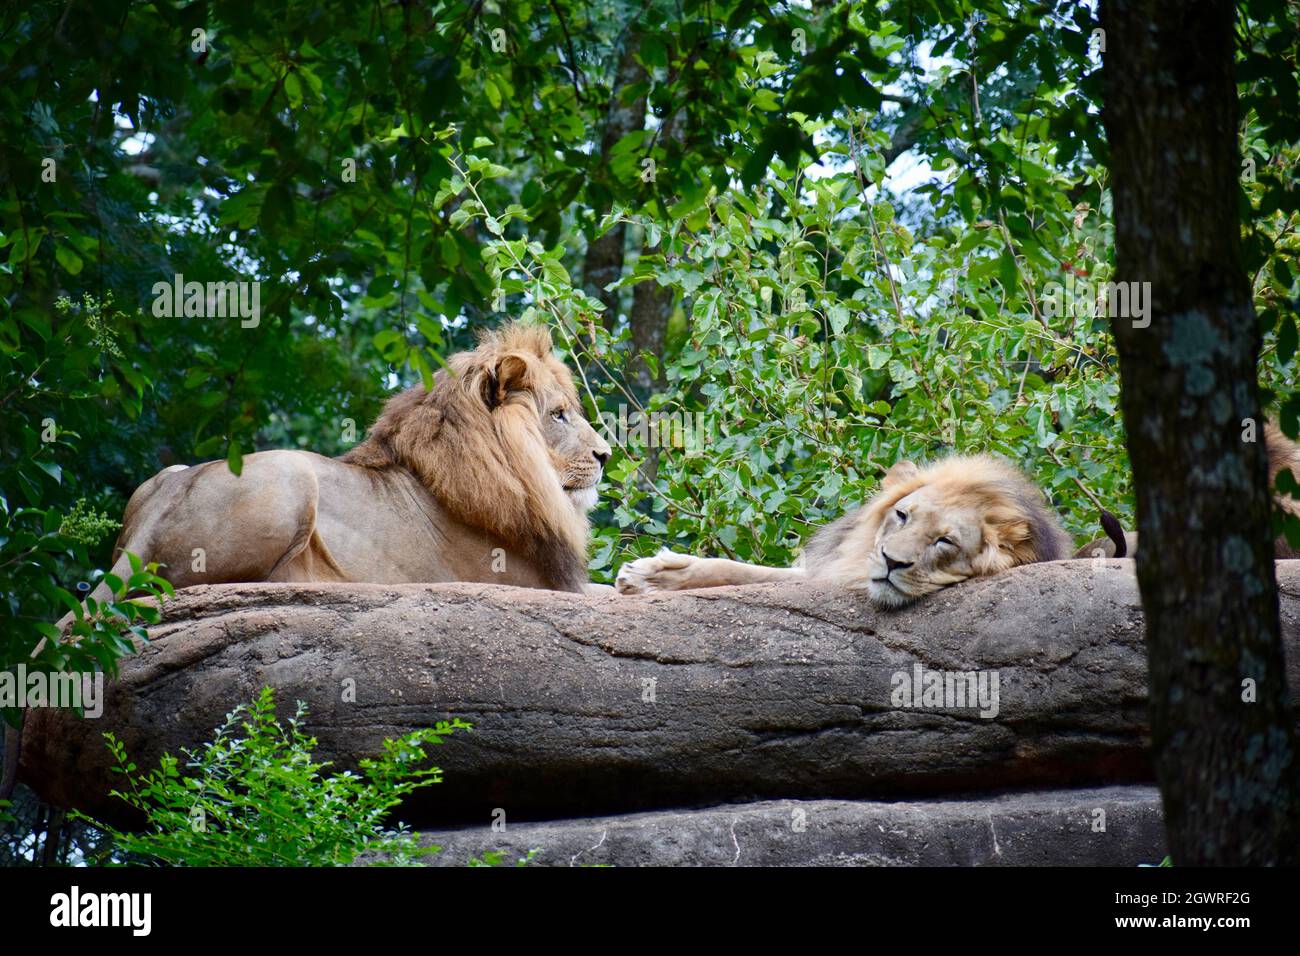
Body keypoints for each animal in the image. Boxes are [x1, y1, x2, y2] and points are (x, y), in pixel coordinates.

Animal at [75, 322, 612, 609]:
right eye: (558, 414)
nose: (605, 455)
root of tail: (148, 527)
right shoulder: (532, 581)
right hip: (291, 478)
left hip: (170, 475)